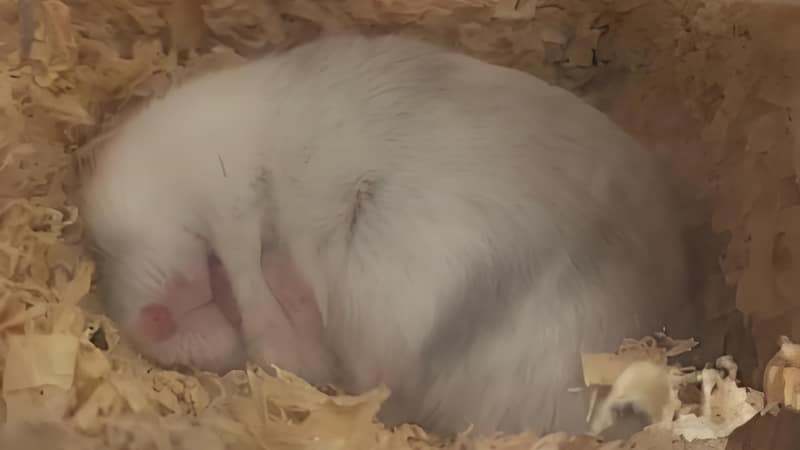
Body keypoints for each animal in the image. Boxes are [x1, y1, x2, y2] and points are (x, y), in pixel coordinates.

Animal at [82, 34, 696, 435]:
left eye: (105, 248)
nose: (152, 322)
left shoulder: (227, 191)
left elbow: (242, 261)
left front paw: (245, 285)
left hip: (388, 288)